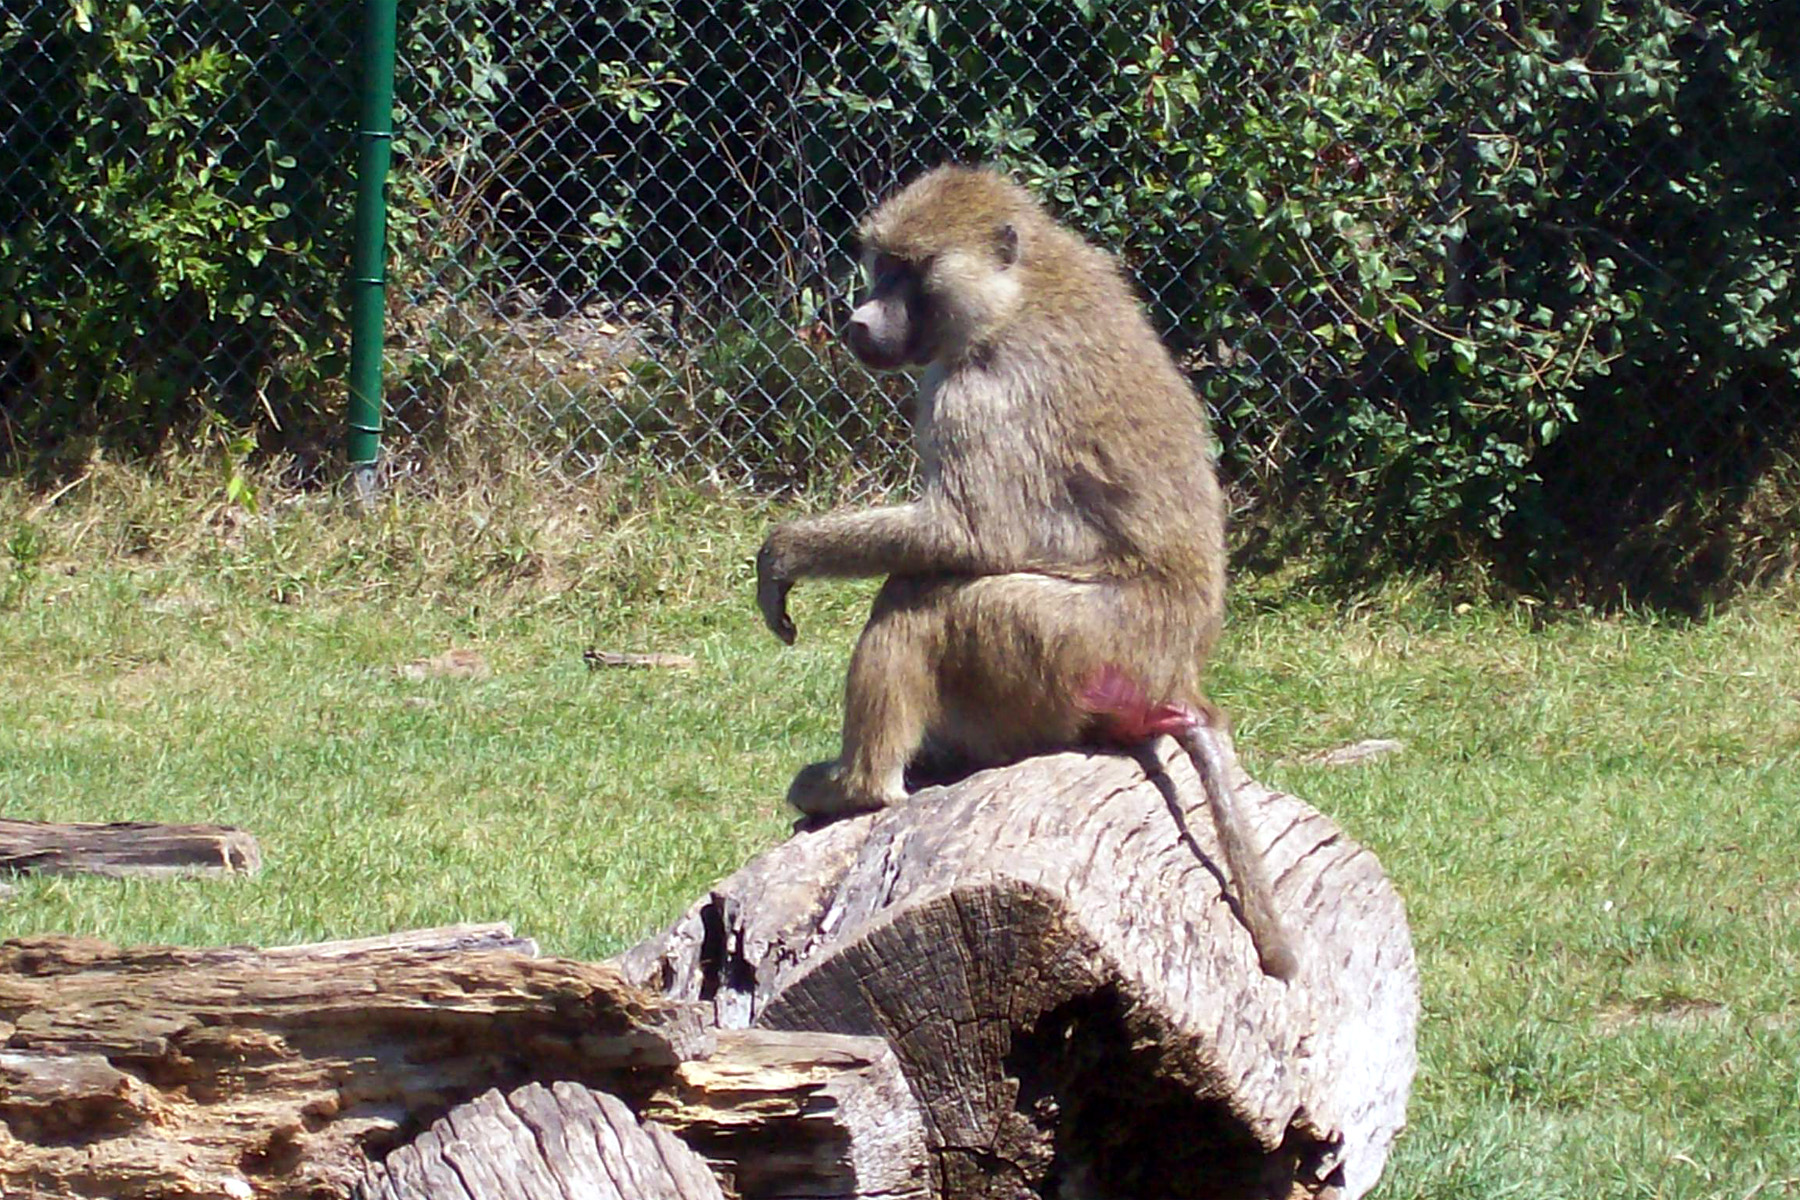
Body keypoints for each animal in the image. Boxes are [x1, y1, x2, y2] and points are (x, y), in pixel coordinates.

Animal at [754, 165, 1297, 980]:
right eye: (882, 264)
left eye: (909, 269)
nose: (857, 322)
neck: (1014, 295)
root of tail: (1177, 675)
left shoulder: (981, 392)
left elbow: (969, 533)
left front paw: (782, 554)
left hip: (1076, 647)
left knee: (924, 594)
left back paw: (859, 790)